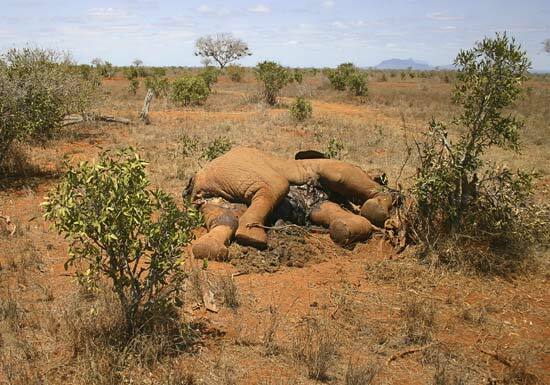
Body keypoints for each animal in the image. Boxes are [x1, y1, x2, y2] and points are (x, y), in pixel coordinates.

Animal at [185, 146, 396, 260]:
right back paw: (252, 235)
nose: (382, 175)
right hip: (238, 166)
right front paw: (379, 207)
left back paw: (209, 247)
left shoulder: (319, 203)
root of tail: (196, 180)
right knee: (275, 185)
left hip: (214, 197)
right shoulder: (331, 169)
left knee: (226, 218)